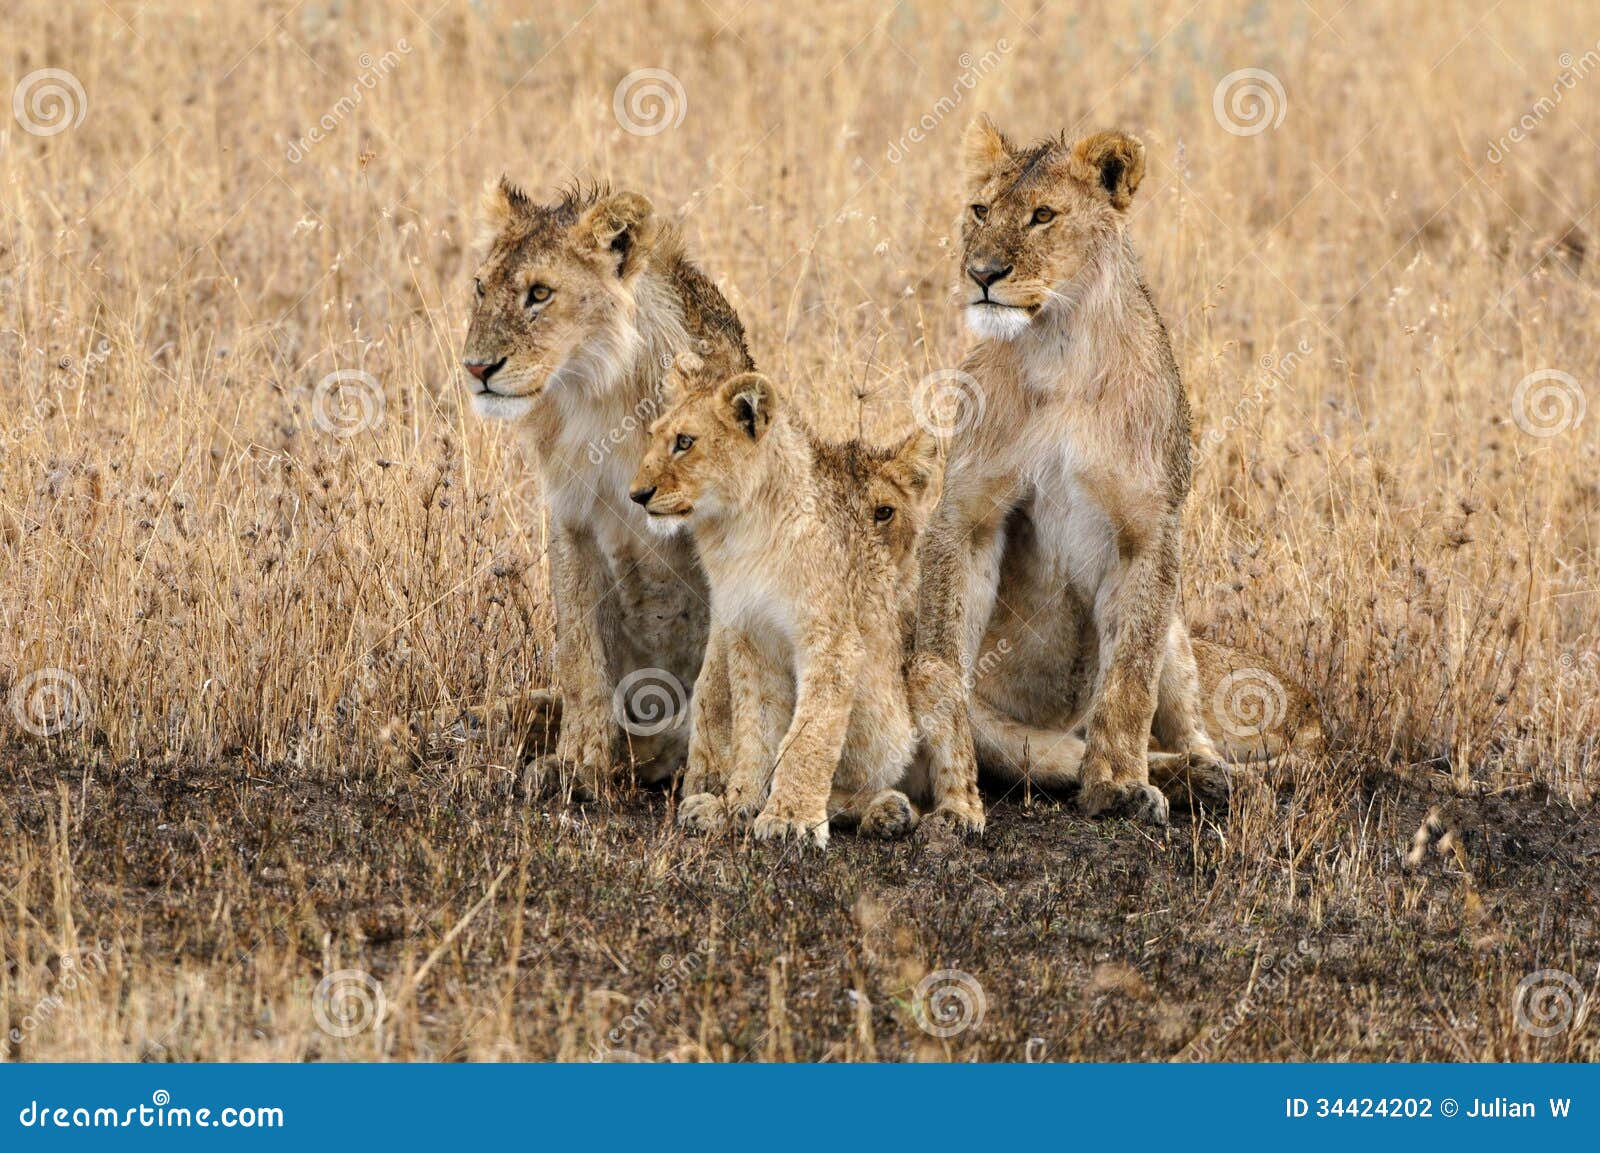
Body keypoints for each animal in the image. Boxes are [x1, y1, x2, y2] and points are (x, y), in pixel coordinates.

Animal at [454, 178, 753, 797]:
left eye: (540, 293)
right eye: (480, 287)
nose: (475, 368)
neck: (597, 394)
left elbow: (717, 681)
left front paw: (710, 780)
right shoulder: (571, 519)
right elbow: (579, 654)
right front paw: (575, 764)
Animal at [629, 371, 944, 847]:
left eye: (685, 442)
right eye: (654, 437)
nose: (637, 495)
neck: (741, 529)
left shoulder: (831, 642)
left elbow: (807, 736)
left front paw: (788, 818)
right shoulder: (751, 636)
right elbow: (755, 730)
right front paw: (739, 806)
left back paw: (893, 809)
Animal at [910, 117, 1317, 831]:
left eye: (1044, 216)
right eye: (980, 210)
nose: (982, 273)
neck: (1060, 346)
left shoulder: (1150, 528)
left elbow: (1129, 677)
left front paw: (1119, 785)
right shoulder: (967, 516)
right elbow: (942, 667)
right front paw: (956, 803)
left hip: (1180, 627)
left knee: (1191, 729)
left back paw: (1214, 779)